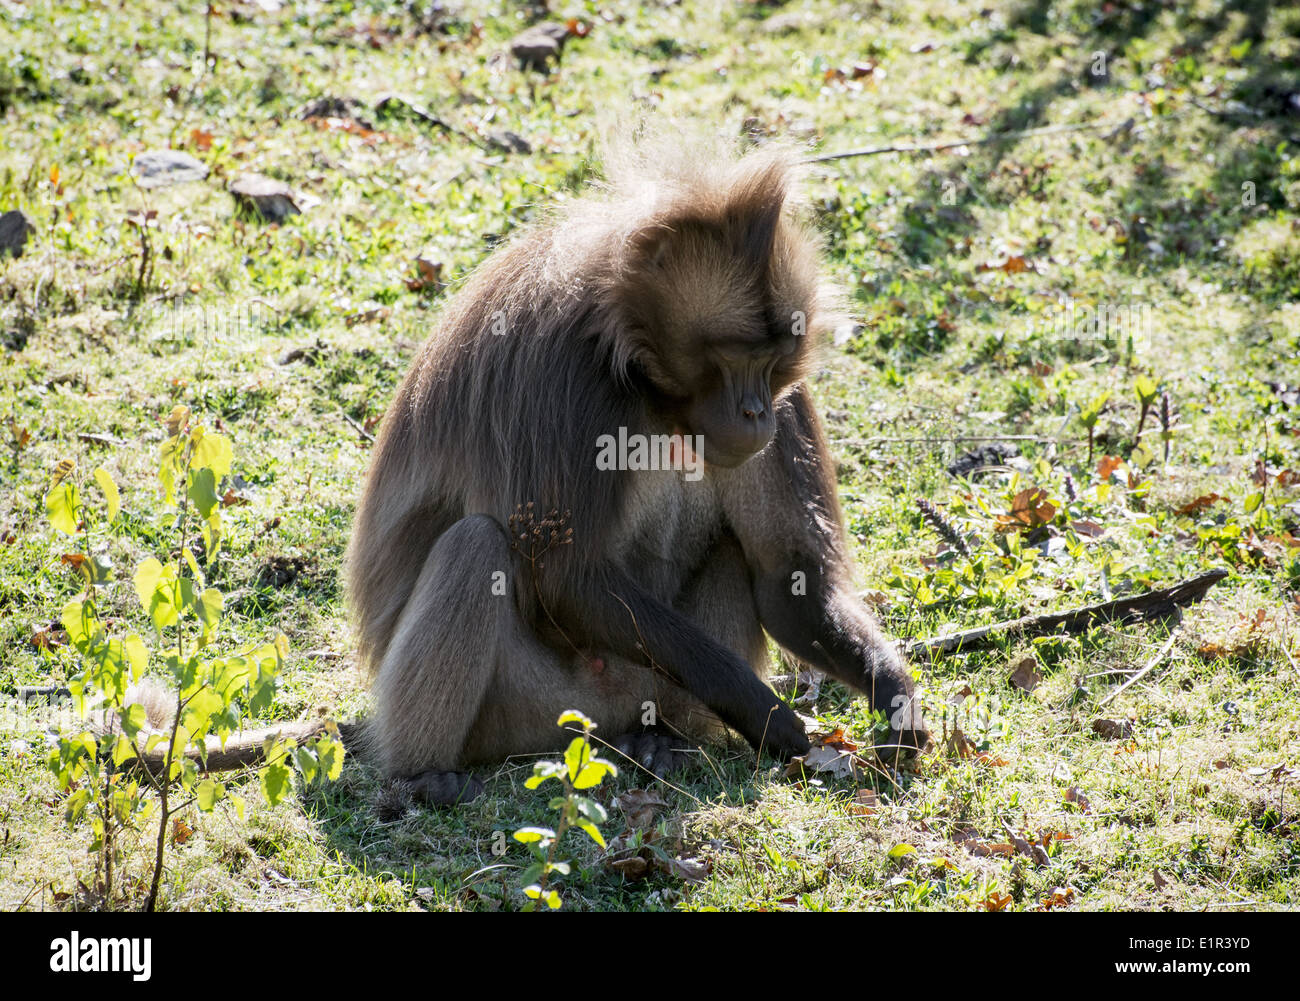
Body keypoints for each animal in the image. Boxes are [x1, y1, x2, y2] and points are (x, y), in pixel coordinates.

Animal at [344, 133, 929, 806]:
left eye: (771, 360)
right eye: (733, 358)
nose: (756, 413)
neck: (645, 380)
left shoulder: (787, 401)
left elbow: (789, 579)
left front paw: (894, 695)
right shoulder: (564, 376)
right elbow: (566, 576)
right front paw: (769, 715)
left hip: (646, 692)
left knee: (730, 556)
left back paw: (661, 741)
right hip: (531, 709)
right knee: (476, 547)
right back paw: (423, 775)